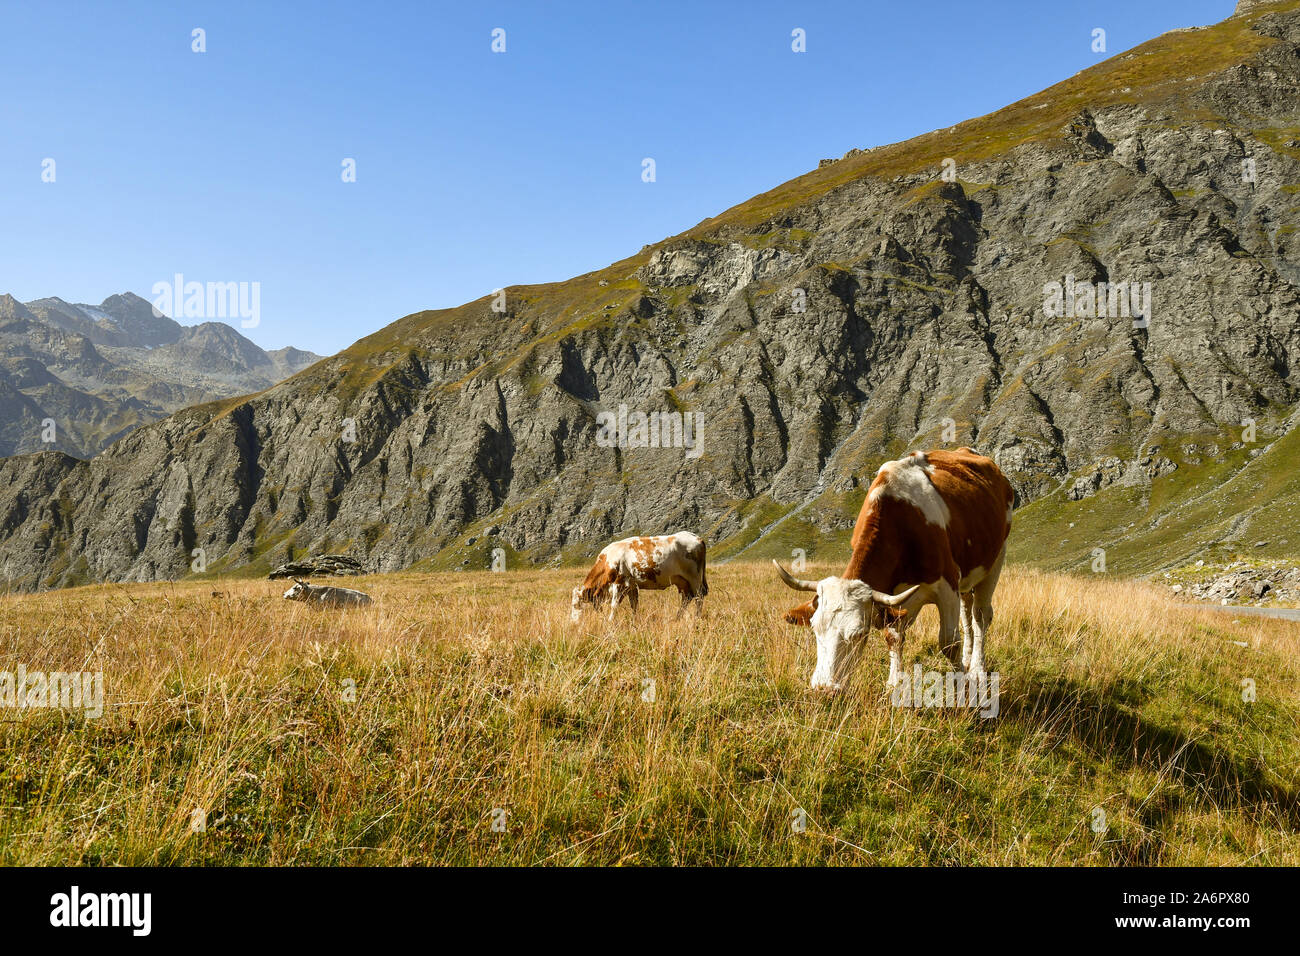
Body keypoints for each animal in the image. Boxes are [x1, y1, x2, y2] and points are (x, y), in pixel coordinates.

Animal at [571, 532, 708, 621]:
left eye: (576, 605)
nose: (573, 622)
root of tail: (696, 537)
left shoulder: (620, 583)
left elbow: (614, 605)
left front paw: (610, 622)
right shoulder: (631, 586)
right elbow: (634, 605)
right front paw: (634, 621)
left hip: (695, 578)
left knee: (699, 598)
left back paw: (696, 619)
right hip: (682, 581)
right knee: (687, 598)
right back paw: (677, 618)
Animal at [774, 447, 1014, 692]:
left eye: (859, 634)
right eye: (814, 627)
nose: (824, 688)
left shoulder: (947, 586)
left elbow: (948, 642)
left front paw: (961, 686)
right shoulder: (894, 600)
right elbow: (894, 637)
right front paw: (894, 682)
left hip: (996, 558)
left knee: (980, 616)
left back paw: (977, 670)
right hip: (967, 575)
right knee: (967, 612)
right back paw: (967, 659)